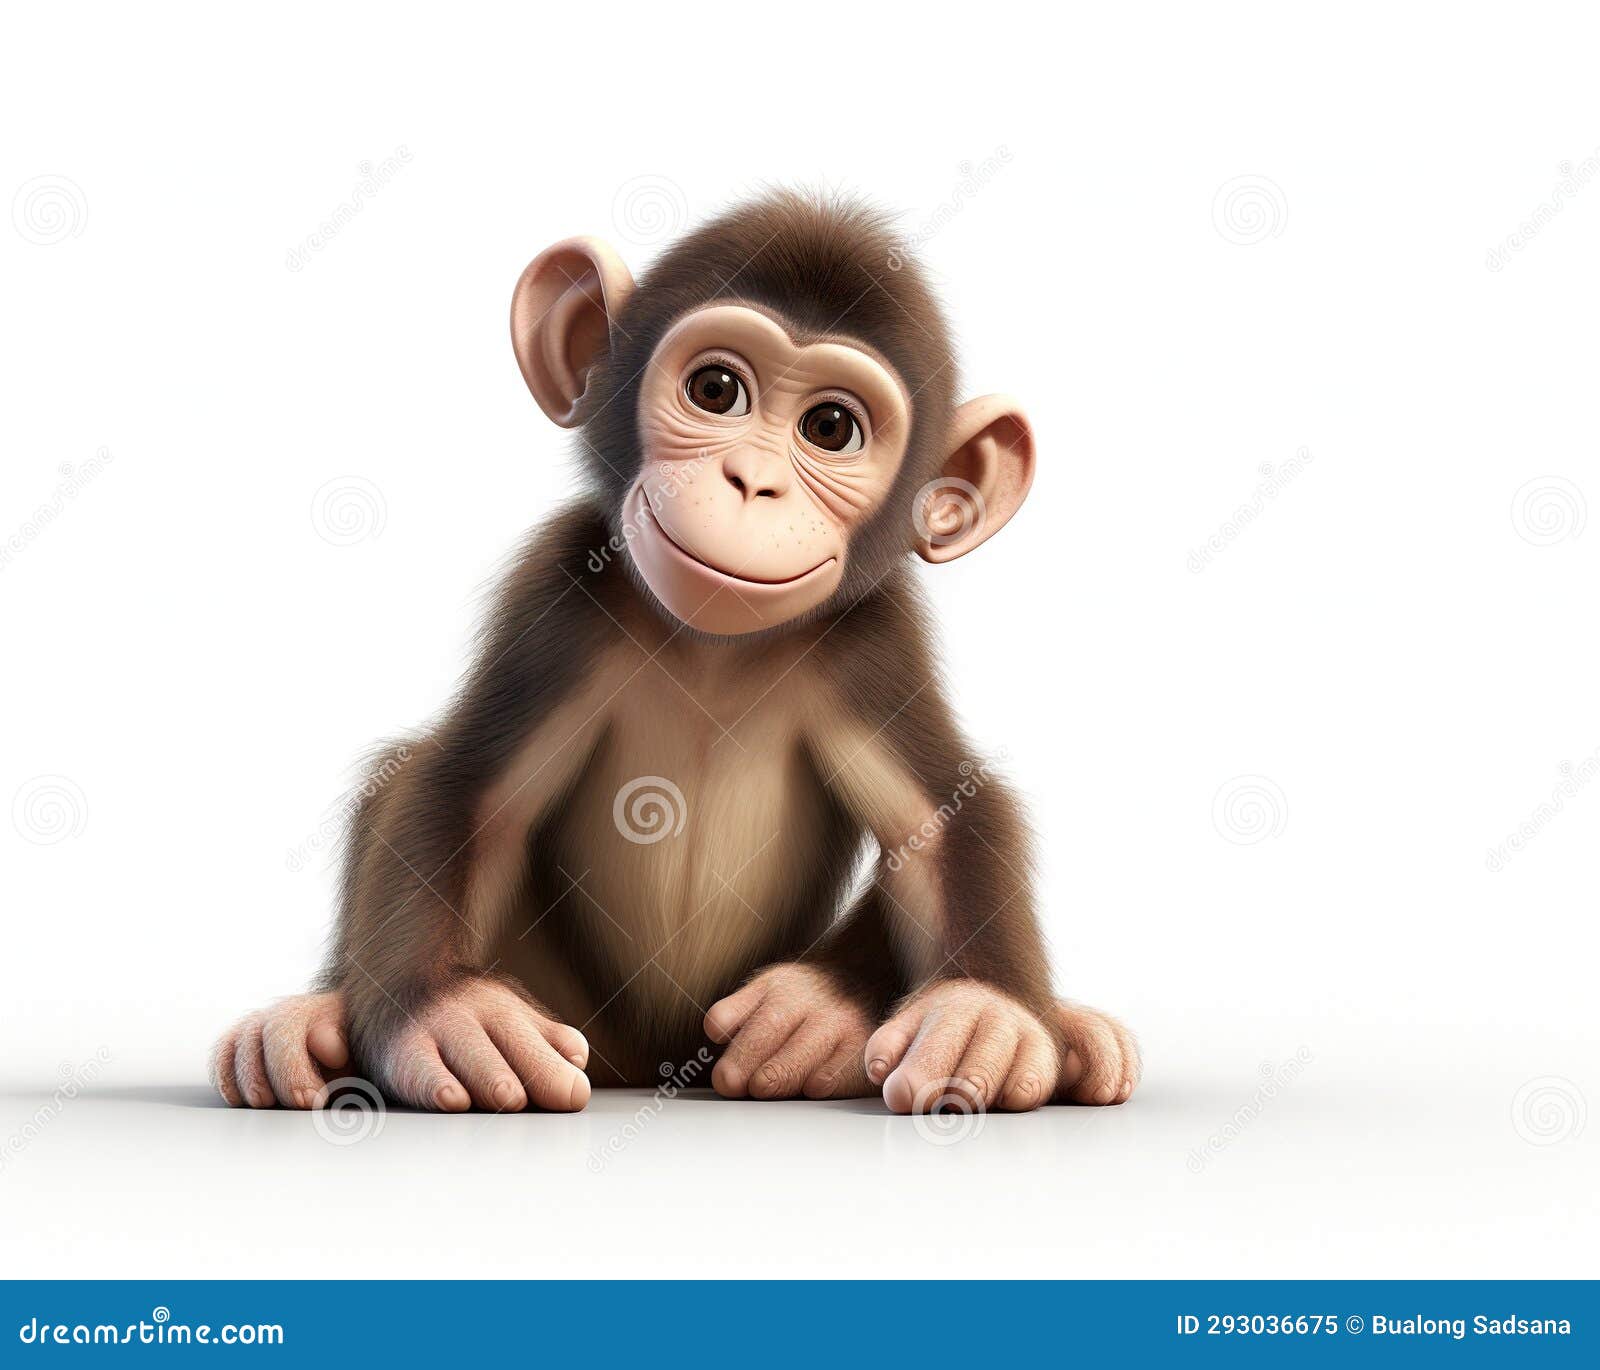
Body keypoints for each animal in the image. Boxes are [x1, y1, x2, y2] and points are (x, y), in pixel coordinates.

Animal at [212, 191, 1139, 1117]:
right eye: (716, 390)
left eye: (831, 428)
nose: (753, 483)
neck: (713, 654)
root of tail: (655, 1063)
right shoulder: (558, 594)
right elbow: (468, 790)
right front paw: (446, 1013)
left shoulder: (879, 643)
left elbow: (940, 820)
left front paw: (978, 1014)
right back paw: (303, 1026)